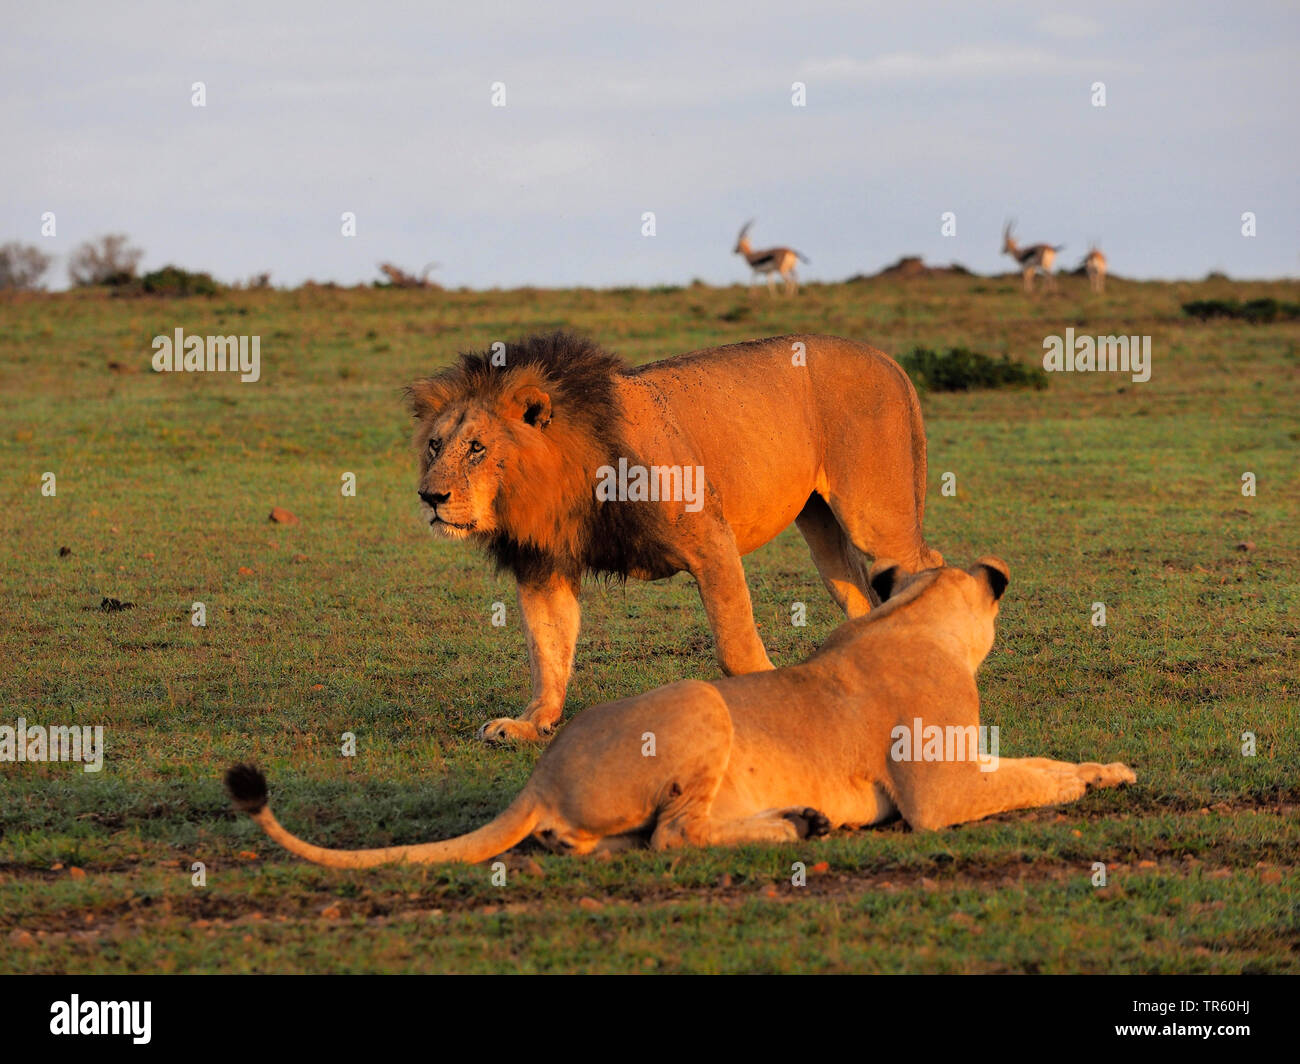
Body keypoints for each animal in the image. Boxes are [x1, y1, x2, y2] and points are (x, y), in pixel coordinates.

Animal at [225, 557, 1135, 867]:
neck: (911, 612)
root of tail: (538, 775)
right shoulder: (936, 796)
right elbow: (1023, 780)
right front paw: (1078, 785)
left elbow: (1035, 762)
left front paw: (1110, 770)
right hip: (701, 700)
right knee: (673, 836)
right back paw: (797, 827)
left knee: (613, 840)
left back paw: (801, 820)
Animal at [403, 331, 944, 743]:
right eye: (435, 445)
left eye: (477, 448)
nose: (430, 496)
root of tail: (885, 358)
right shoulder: (544, 565)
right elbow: (547, 651)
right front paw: (530, 723)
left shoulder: (711, 541)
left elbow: (734, 648)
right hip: (822, 526)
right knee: (860, 596)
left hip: (873, 514)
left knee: (926, 561)